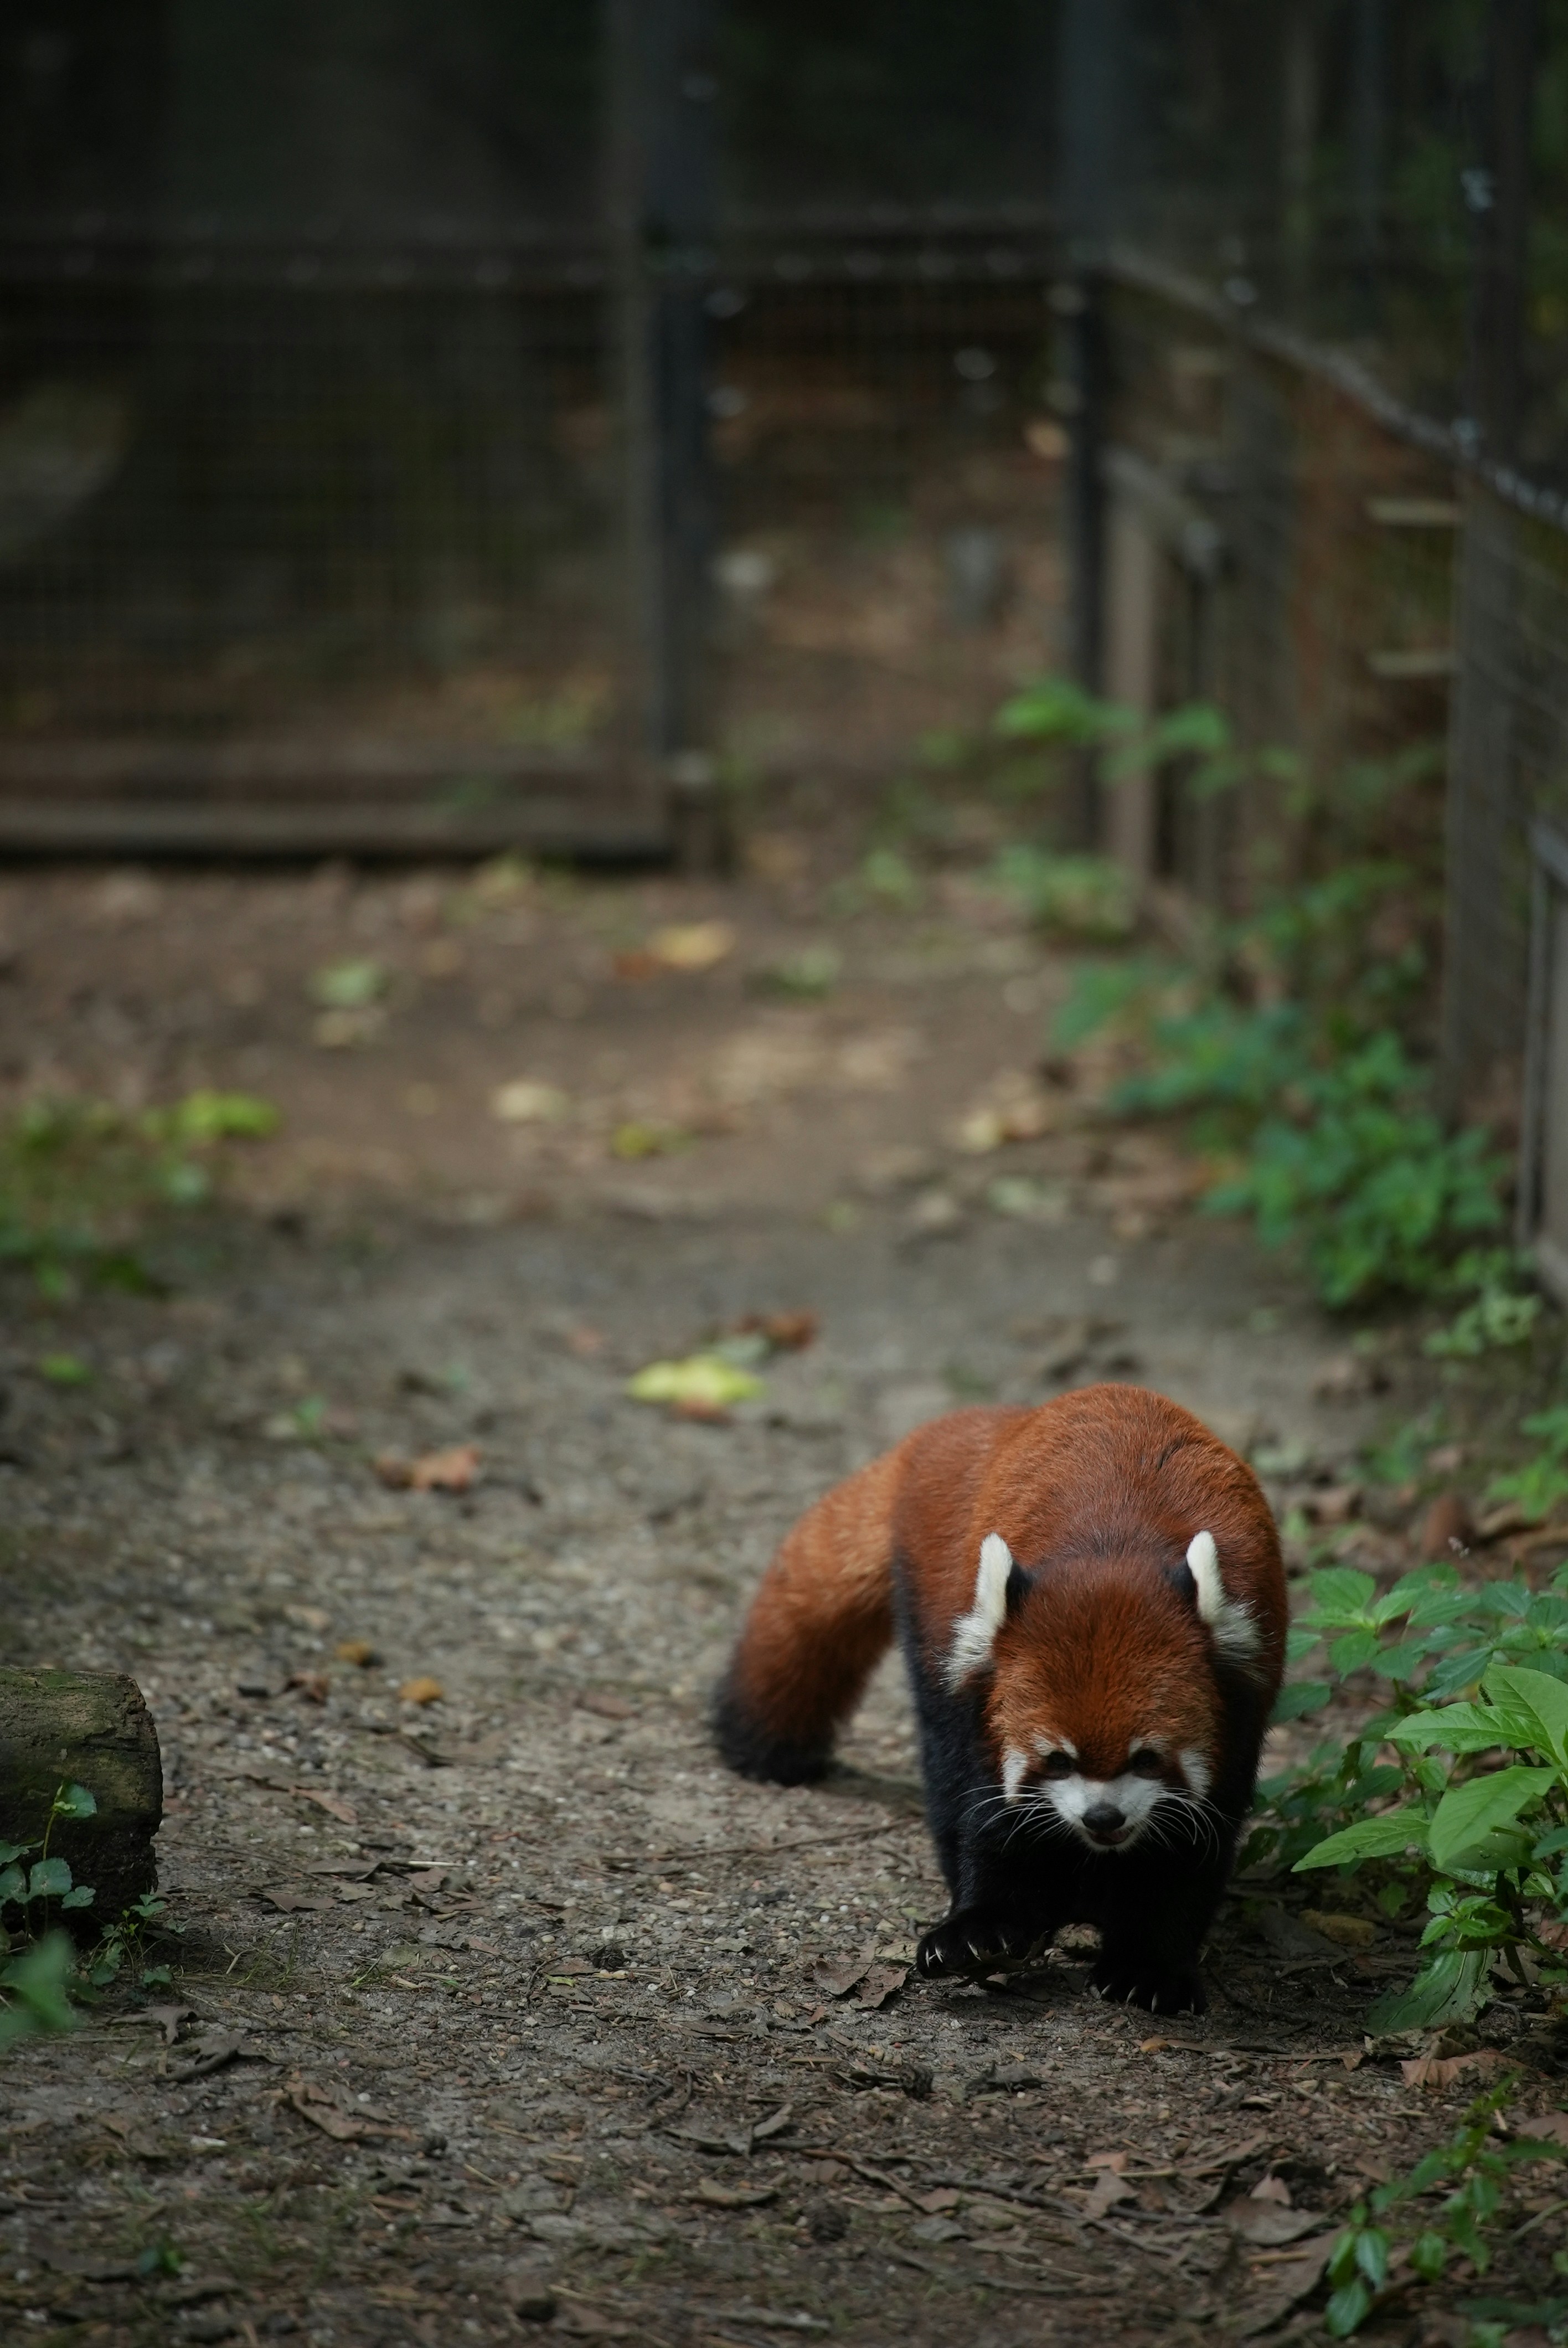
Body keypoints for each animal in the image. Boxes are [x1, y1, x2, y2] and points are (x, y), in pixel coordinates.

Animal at [712, 1385, 1286, 2013]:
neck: (1117, 1551)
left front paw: (1152, 1965)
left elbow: (1187, 1852)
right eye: (1056, 1759)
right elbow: (989, 1814)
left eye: (1147, 1758)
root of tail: (978, 1425)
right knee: (944, 1768)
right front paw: (984, 1927)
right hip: (940, 1619)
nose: (1102, 1817)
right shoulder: (984, 1696)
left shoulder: (1244, 1694)